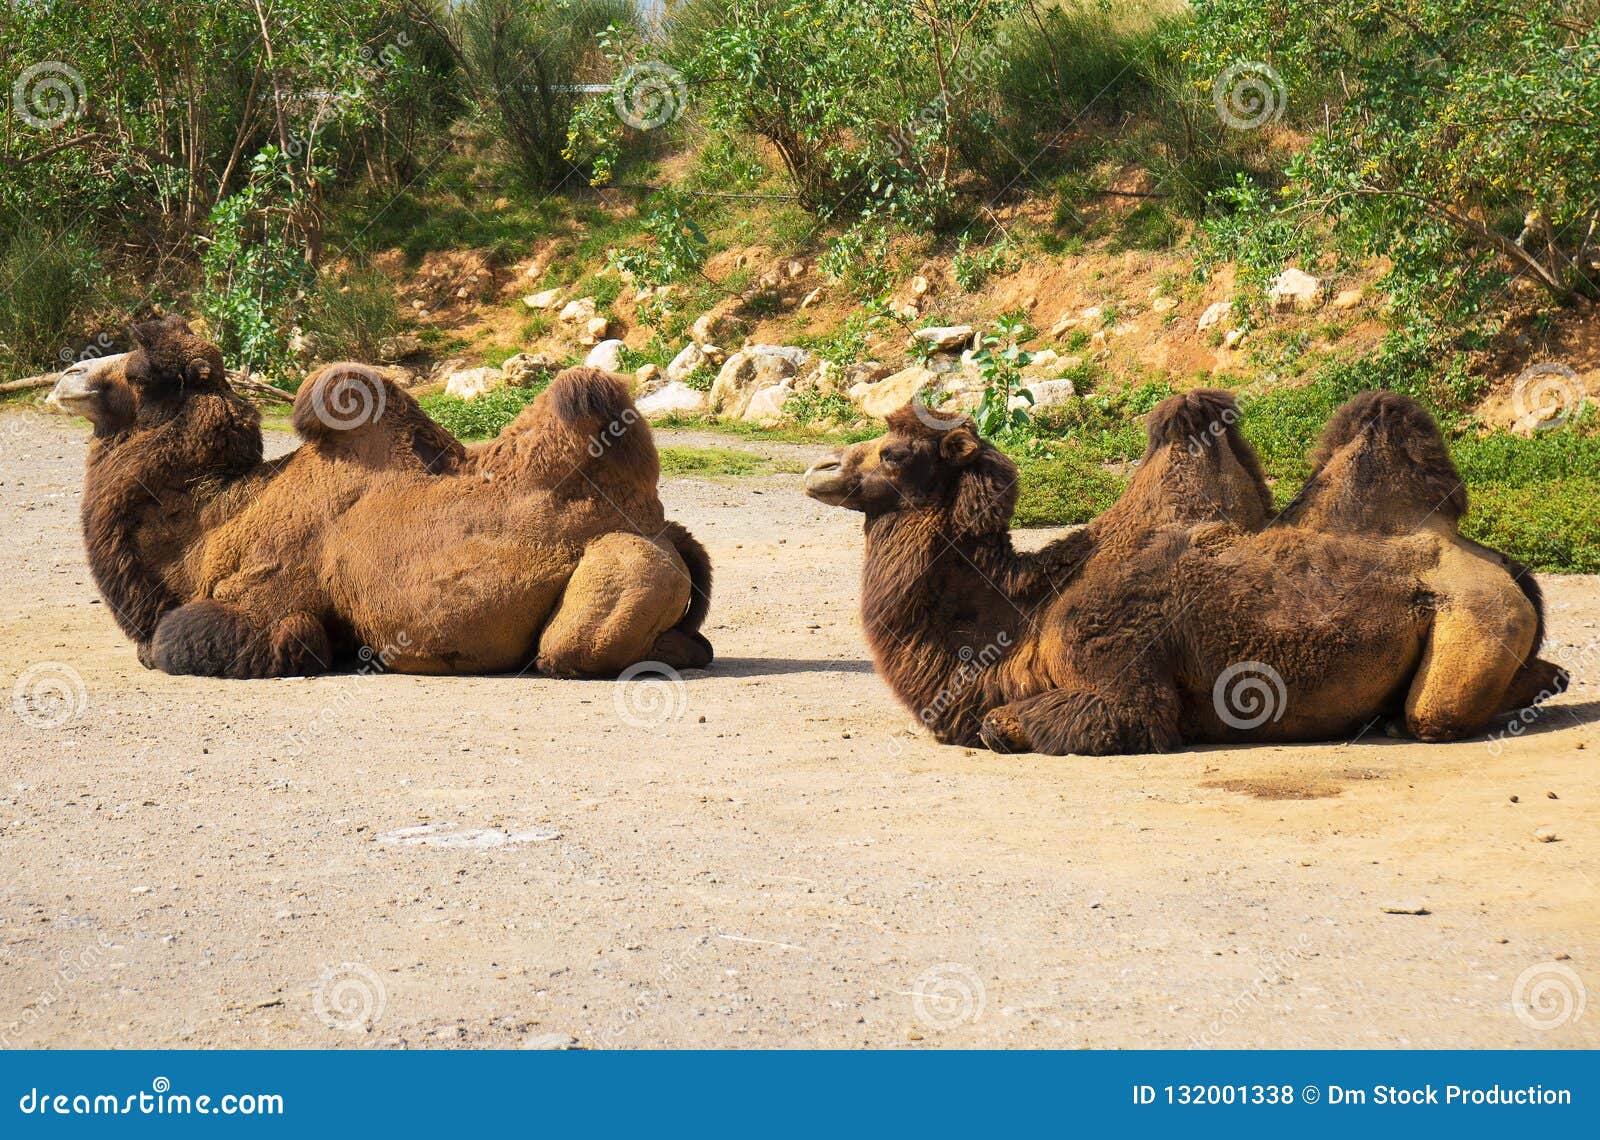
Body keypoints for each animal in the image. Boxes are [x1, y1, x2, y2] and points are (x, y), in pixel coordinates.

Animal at [50, 316, 712, 678]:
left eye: (144, 377)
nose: (66, 375)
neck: (218, 520)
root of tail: (662, 529)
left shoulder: (269, 600)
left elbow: (174, 639)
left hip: (624, 563)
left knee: (569, 648)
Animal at [803, 390, 1568, 755]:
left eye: (896, 453)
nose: (819, 469)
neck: (1027, 612)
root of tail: (1513, 571)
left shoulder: (1116, 671)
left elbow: (1031, 722)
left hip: (1474, 614)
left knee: (1433, 713)